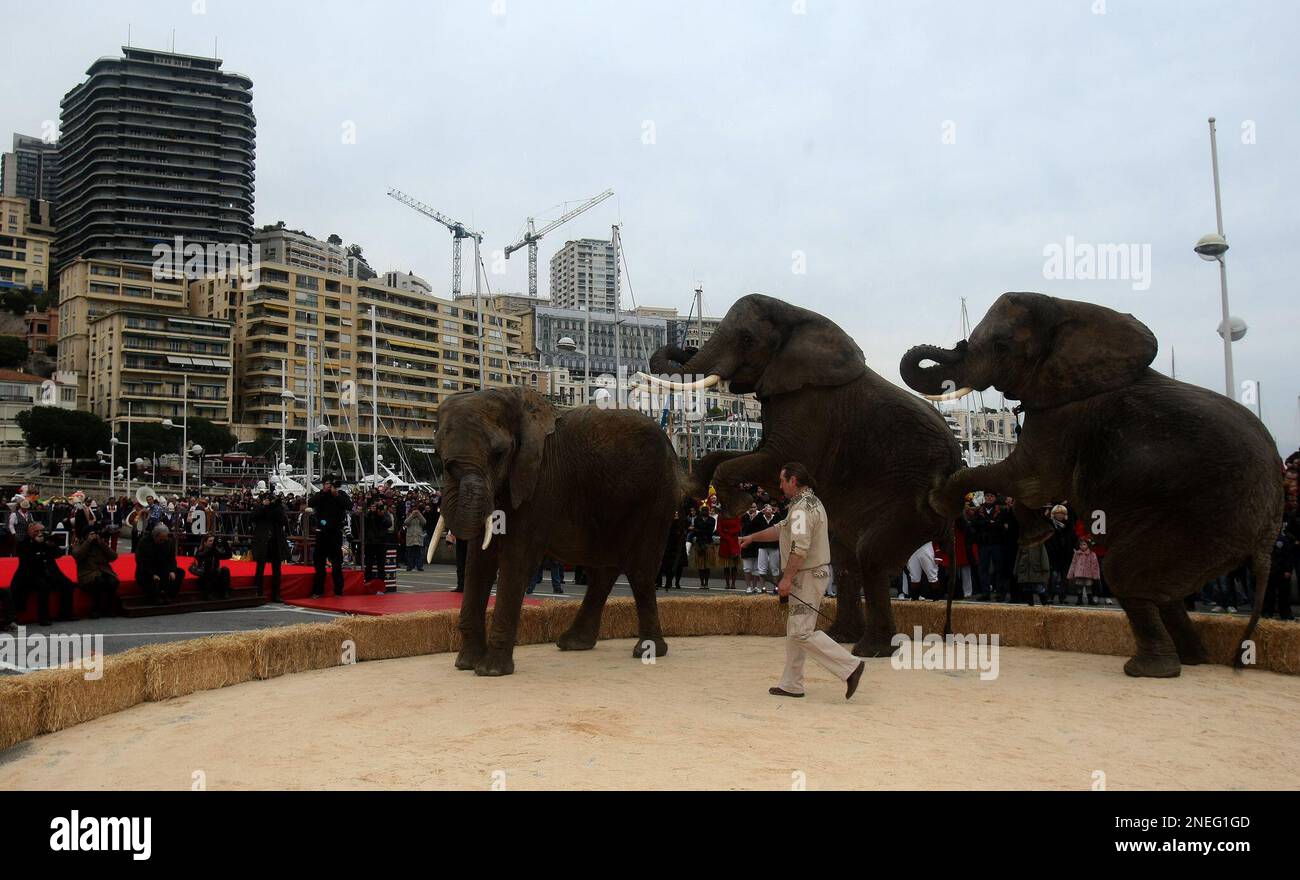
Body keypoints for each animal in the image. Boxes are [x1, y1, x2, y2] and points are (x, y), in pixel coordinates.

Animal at [426, 386, 696, 676]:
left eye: (498, 453)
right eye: (437, 454)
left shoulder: (539, 481)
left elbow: (516, 558)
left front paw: (490, 671)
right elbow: (479, 560)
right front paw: (466, 665)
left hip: (657, 496)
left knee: (640, 571)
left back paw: (648, 650)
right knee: (605, 569)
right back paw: (574, 643)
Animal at [644, 293, 962, 656]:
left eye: (747, 338)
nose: (685, 345)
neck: (794, 314)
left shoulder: (811, 406)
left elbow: (777, 460)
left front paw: (737, 505)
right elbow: (738, 455)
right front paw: (695, 487)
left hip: (915, 501)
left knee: (872, 556)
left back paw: (871, 650)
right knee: (846, 559)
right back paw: (840, 637)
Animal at [899, 291, 1283, 677]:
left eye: (1002, 345)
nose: (958, 346)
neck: (1066, 306)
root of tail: (1267, 540)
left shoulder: (1062, 415)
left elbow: (1027, 478)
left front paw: (941, 501)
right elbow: (1031, 485)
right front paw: (1036, 533)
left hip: (1205, 521)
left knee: (1126, 574)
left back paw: (1149, 668)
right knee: (1162, 589)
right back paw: (1192, 657)